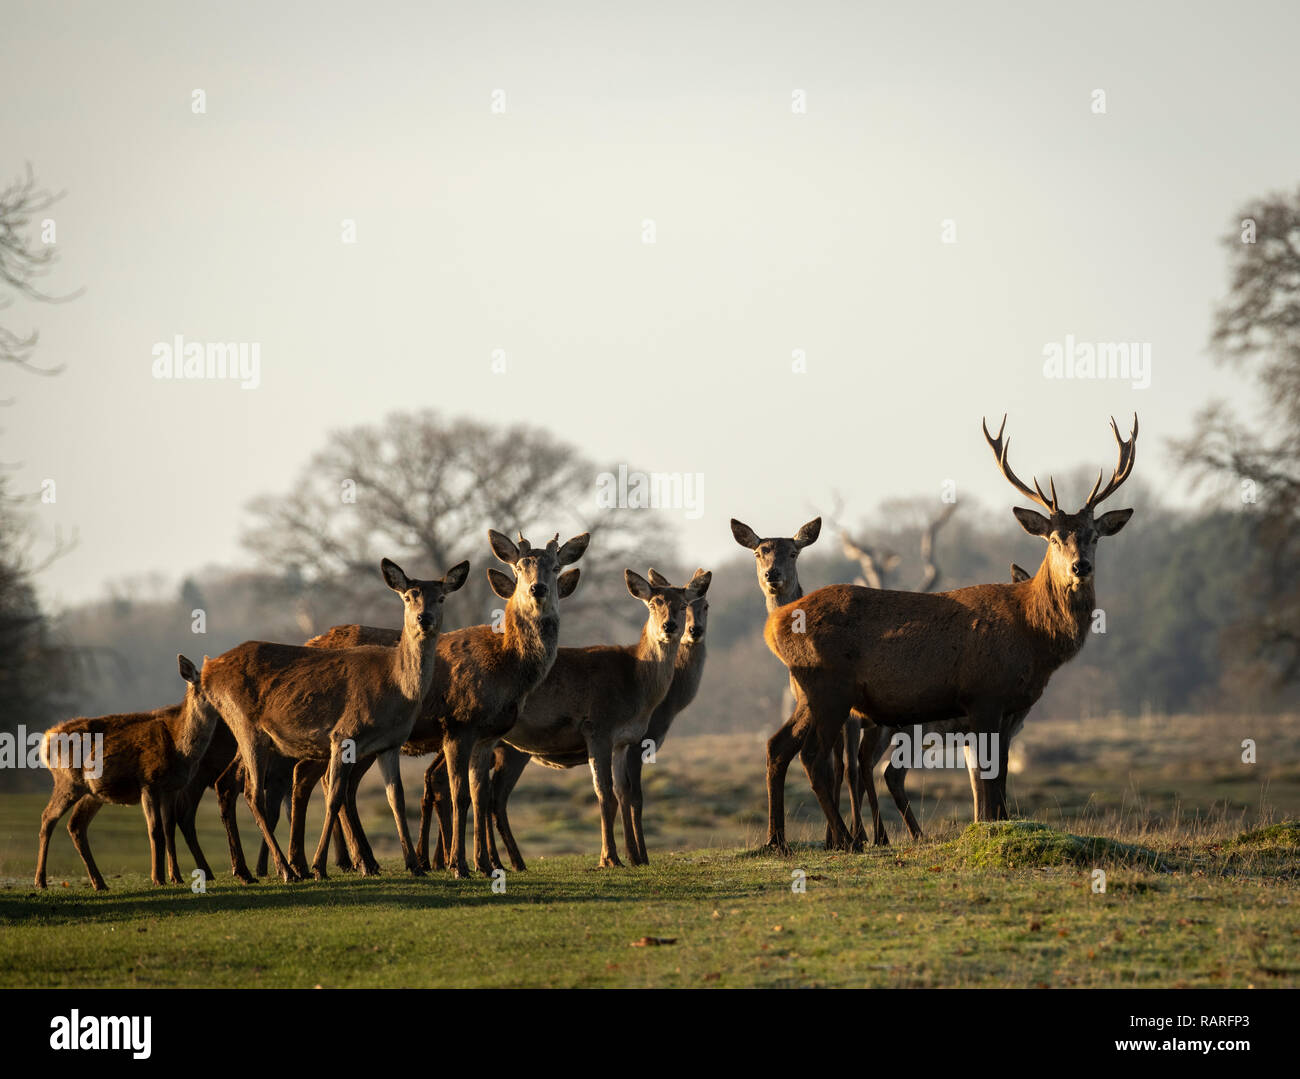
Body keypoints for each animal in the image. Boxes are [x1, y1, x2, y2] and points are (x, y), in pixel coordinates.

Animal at [35, 654, 224, 891]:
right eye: (205, 686)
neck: (179, 747)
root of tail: (46, 740)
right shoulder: (149, 782)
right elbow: (155, 830)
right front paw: (158, 878)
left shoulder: (171, 788)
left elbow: (169, 829)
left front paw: (176, 877)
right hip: (68, 781)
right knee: (48, 817)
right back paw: (40, 880)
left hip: (92, 793)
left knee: (76, 825)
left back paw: (99, 883)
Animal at [200, 557, 469, 882]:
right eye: (408, 596)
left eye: (441, 597)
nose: (423, 618)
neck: (395, 686)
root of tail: (208, 670)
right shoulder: (343, 735)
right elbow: (335, 795)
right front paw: (319, 866)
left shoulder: (390, 745)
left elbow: (397, 798)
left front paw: (415, 865)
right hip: (246, 726)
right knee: (253, 793)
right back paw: (286, 870)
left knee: (236, 785)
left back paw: (255, 870)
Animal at [761, 415, 1137, 852]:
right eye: (1055, 538)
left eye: (1093, 536)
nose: (1081, 567)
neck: (1033, 637)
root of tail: (773, 624)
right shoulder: (985, 694)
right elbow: (990, 778)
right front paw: (992, 831)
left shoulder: (1004, 708)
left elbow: (998, 777)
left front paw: (999, 827)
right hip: (829, 687)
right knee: (816, 757)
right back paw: (845, 840)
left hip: (810, 691)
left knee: (780, 746)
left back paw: (780, 840)